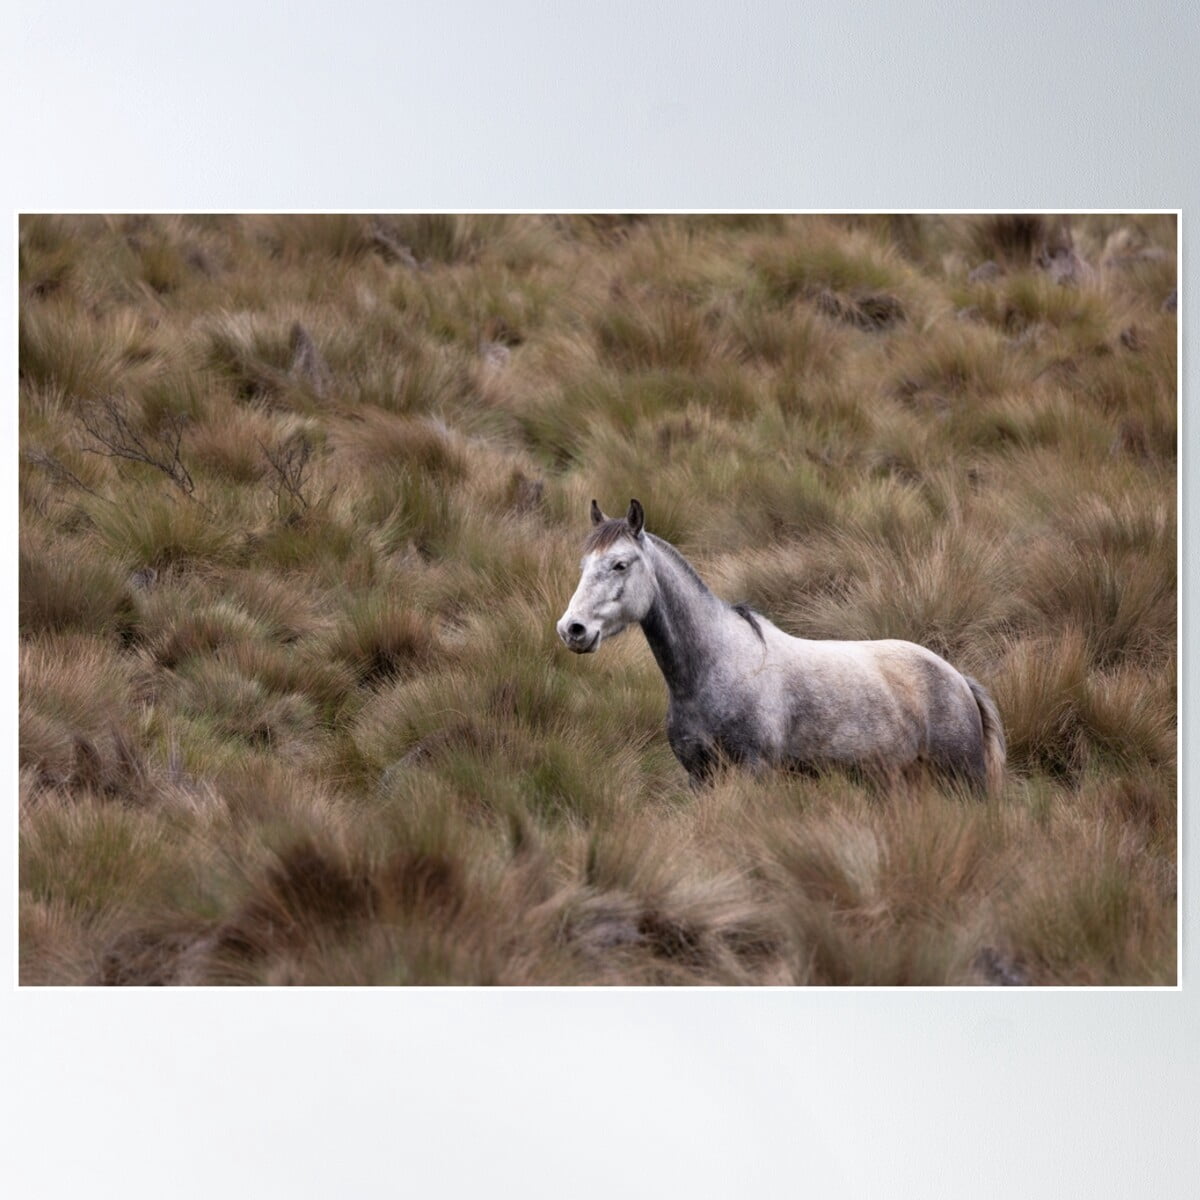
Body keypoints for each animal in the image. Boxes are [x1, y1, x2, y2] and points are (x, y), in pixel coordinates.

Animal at [556, 498, 1006, 795]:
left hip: (962, 781)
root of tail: (957, 678)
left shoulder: (754, 771)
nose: (572, 629)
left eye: (620, 564)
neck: (715, 667)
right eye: (584, 565)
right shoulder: (700, 776)